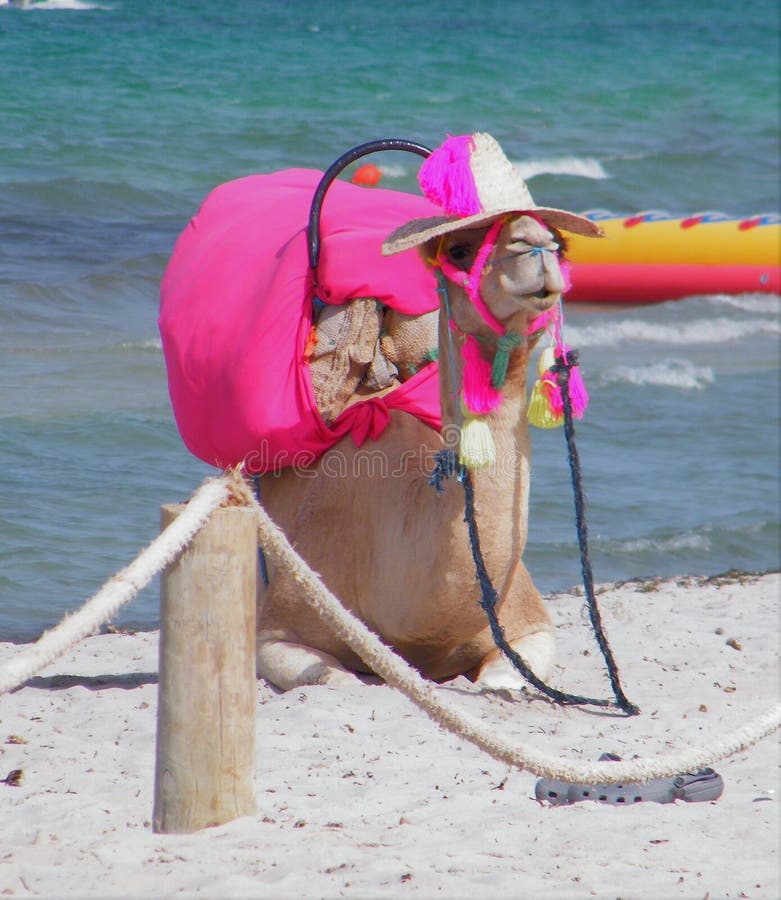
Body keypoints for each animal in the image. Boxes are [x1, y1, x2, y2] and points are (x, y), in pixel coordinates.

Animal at [254, 133, 603, 691]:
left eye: (558, 241)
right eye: (460, 249)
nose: (536, 247)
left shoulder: (530, 624)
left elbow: (501, 680)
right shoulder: (281, 625)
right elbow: (335, 677)